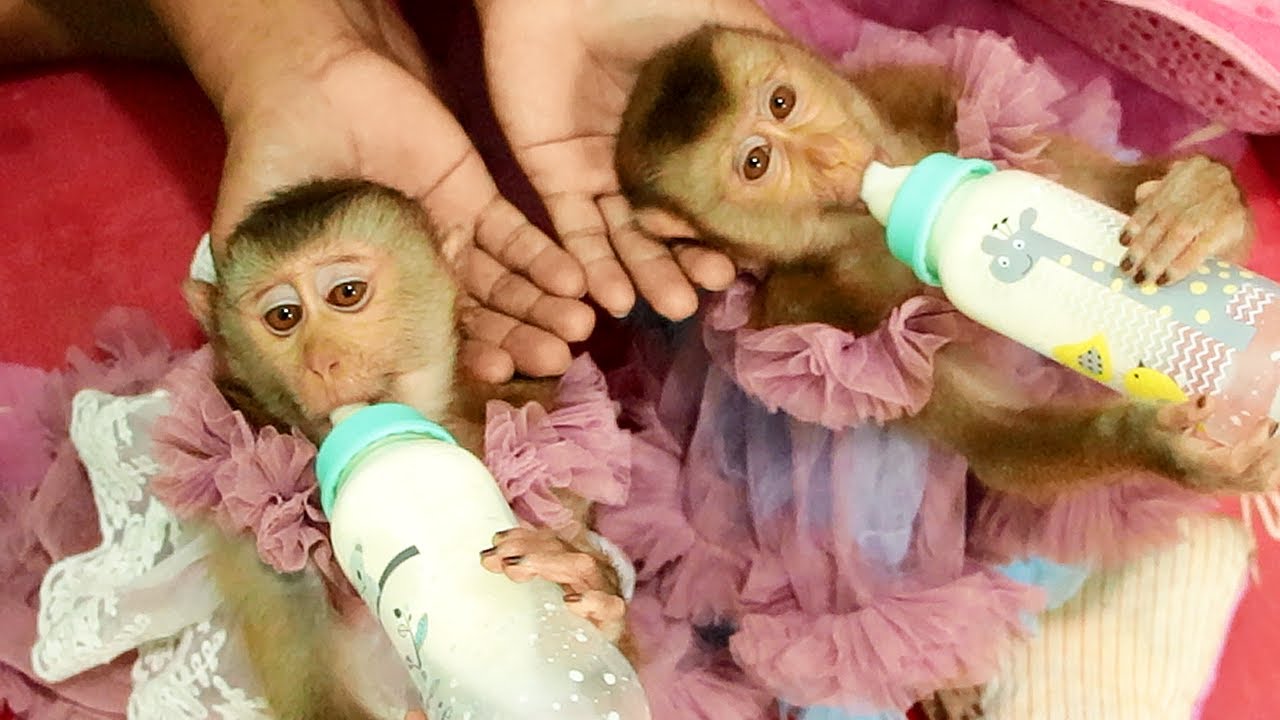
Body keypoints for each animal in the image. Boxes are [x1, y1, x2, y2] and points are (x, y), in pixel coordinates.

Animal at [180, 178, 630, 720]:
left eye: (346, 292)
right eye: (284, 316)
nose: (322, 362)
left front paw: (581, 585)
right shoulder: (256, 548)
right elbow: (313, 702)